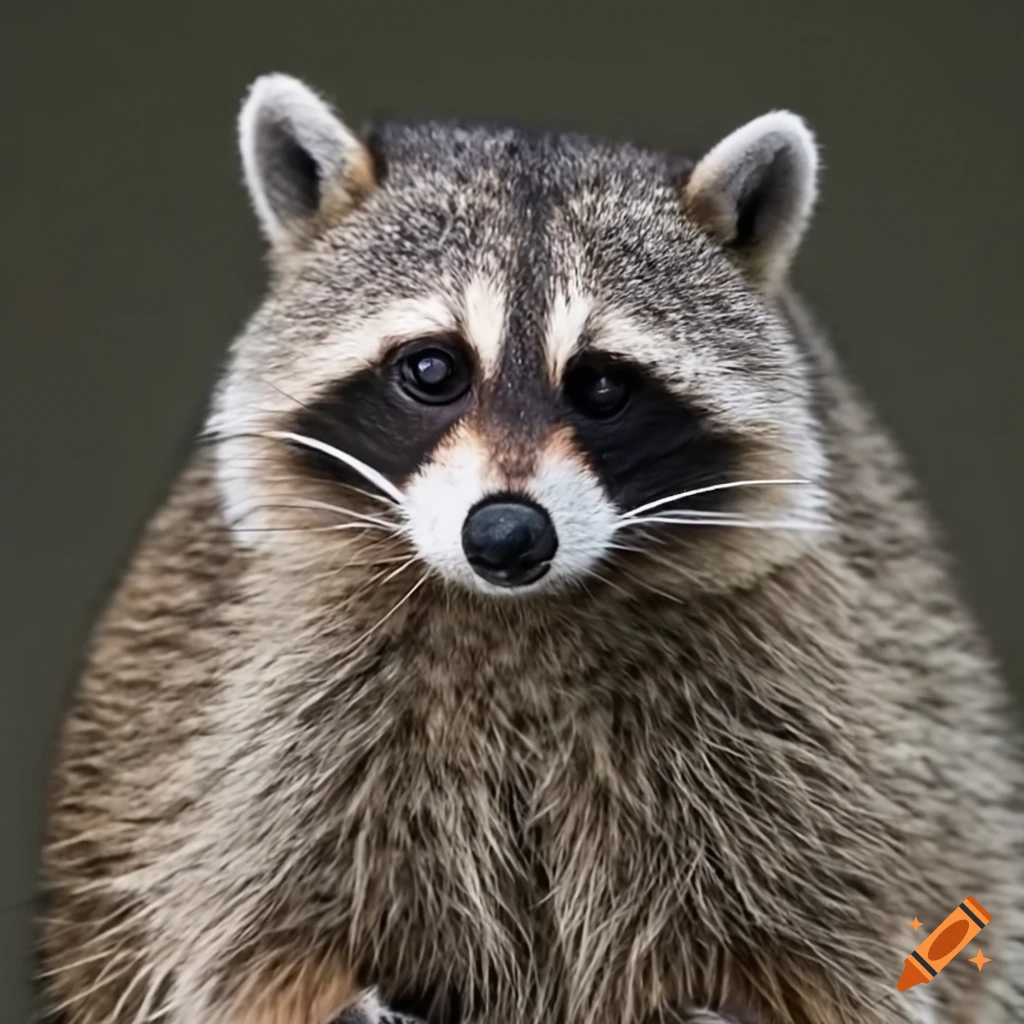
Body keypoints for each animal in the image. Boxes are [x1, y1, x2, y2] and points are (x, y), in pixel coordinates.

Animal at [37, 73, 1023, 1024]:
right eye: (433, 369)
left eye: (603, 385)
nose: (507, 533)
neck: (514, 611)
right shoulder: (267, 725)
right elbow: (249, 932)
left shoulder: (807, 710)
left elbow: (829, 941)